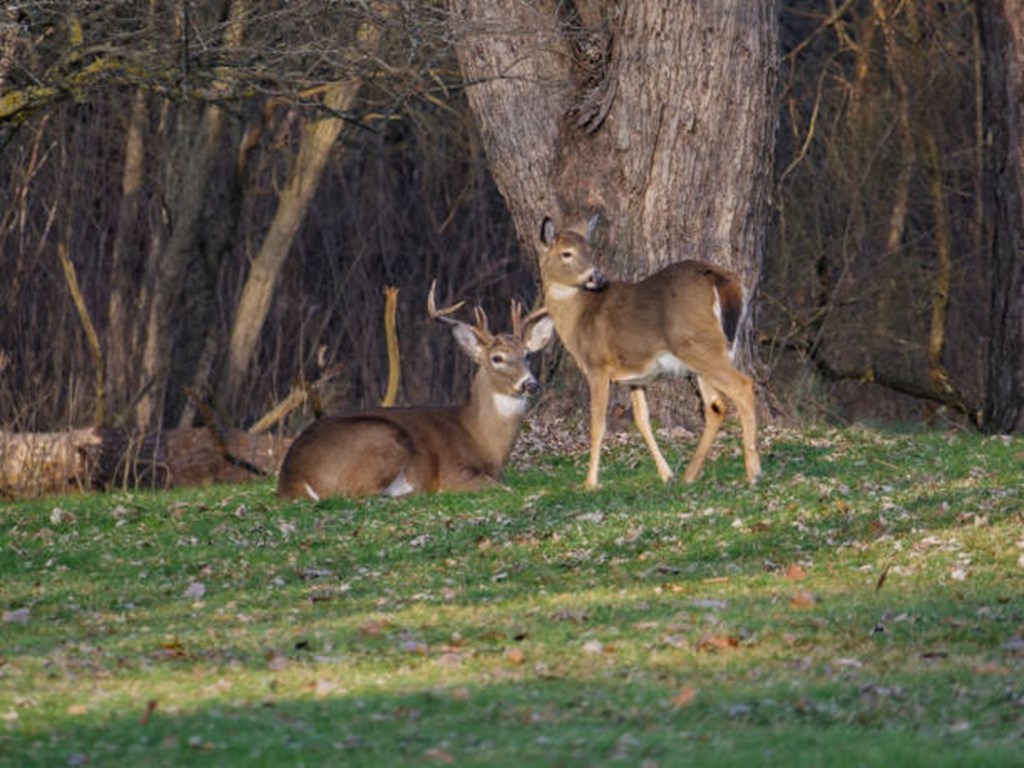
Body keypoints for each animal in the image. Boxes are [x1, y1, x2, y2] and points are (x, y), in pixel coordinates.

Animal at [278, 282, 555, 500]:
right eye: (497, 358)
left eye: (527, 355)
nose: (530, 384)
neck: (482, 441)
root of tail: (292, 479)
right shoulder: (456, 473)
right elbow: (506, 489)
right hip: (383, 438)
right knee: (362, 494)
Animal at [538, 215, 761, 490]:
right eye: (567, 253)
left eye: (589, 250)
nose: (597, 277)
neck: (580, 316)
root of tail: (725, 281)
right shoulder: (635, 376)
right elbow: (642, 421)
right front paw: (666, 474)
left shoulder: (597, 366)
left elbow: (597, 423)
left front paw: (589, 483)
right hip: (708, 350)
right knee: (716, 405)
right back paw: (689, 475)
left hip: (699, 346)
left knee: (742, 386)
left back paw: (753, 472)